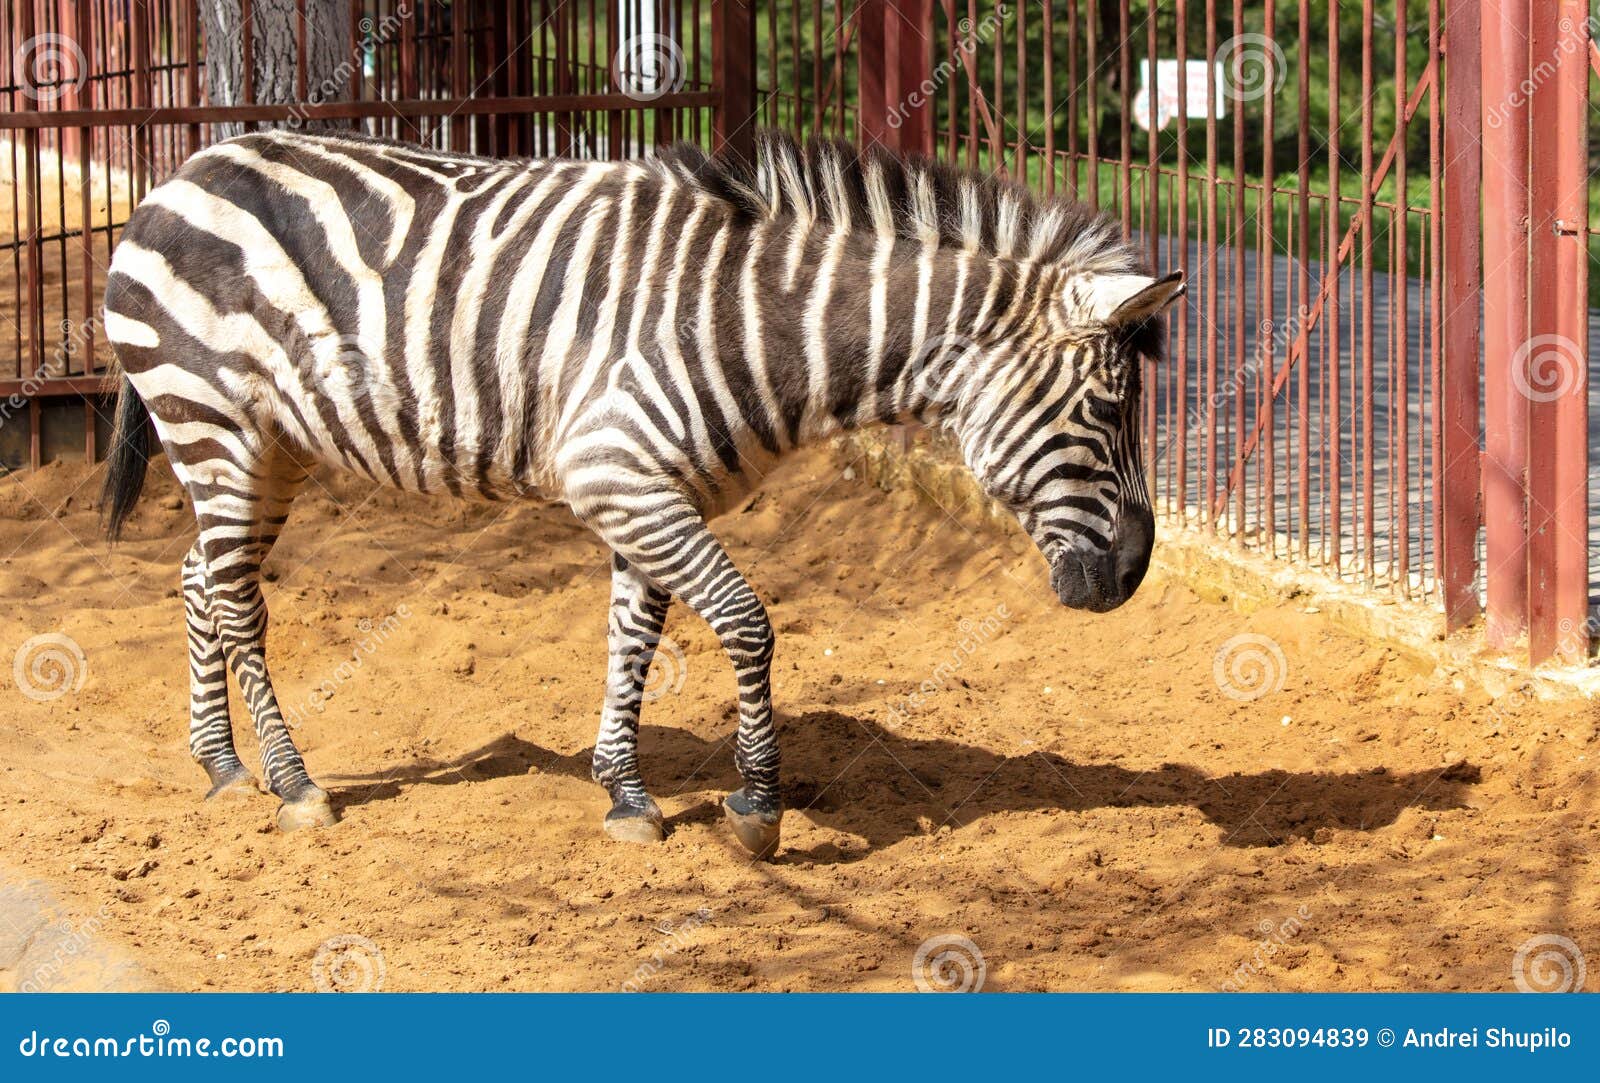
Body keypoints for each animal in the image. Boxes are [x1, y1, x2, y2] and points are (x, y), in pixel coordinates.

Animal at [99, 128, 1183, 858]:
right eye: (1108, 406)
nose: (1135, 573)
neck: (759, 322)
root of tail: (185, 169)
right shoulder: (616, 473)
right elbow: (748, 625)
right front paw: (757, 810)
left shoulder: (652, 493)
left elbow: (634, 640)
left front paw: (622, 793)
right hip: (214, 422)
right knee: (238, 602)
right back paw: (291, 783)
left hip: (266, 449)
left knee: (201, 580)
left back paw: (222, 767)